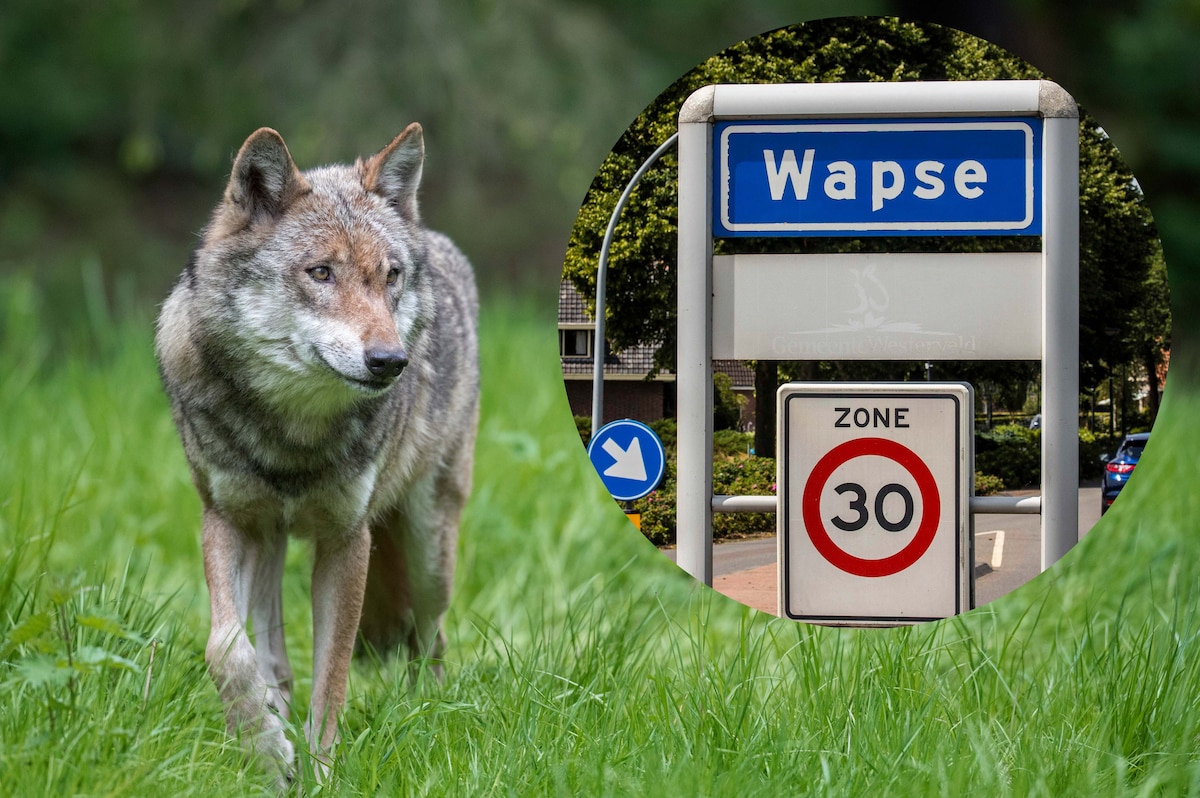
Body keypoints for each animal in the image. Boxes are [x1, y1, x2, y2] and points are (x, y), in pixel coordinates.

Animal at [155, 124, 479, 781]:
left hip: (429, 554)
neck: (292, 435)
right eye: (321, 272)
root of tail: (436, 240)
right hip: (271, 538)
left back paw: (424, 714)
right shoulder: (225, 520)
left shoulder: (347, 540)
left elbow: (332, 680)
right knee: (271, 649)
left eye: (389, 276)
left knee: (429, 638)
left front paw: (321, 774)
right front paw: (263, 746)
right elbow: (226, 647)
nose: (390, 361)